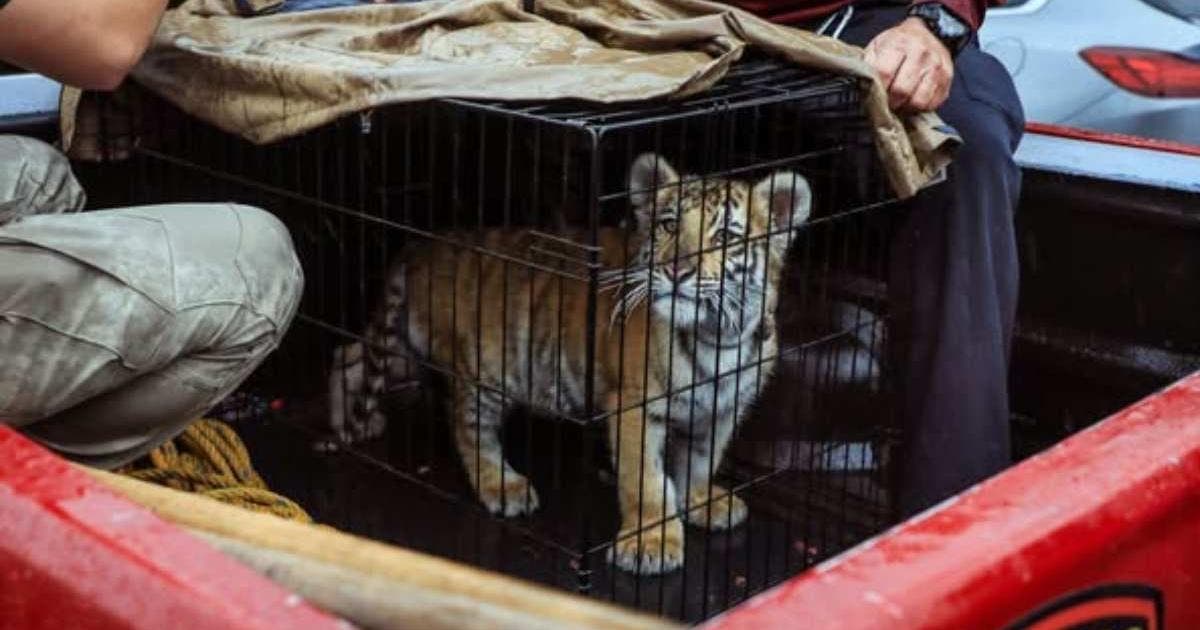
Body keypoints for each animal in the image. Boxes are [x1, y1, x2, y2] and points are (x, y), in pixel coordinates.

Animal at [326, 153, 812, 574]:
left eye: (726, 237)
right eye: (668, 225)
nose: (676, 273)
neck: (719, 334)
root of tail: (426, 243)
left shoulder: (724, 409)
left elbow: (700, 460)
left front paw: (700, 502)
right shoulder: (635, 406)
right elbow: (645, 479)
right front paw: (649, 543)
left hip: (405, 345)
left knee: (347, 355)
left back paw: (350, 423)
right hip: (482, 371)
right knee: (470, 430)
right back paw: (503, 485)